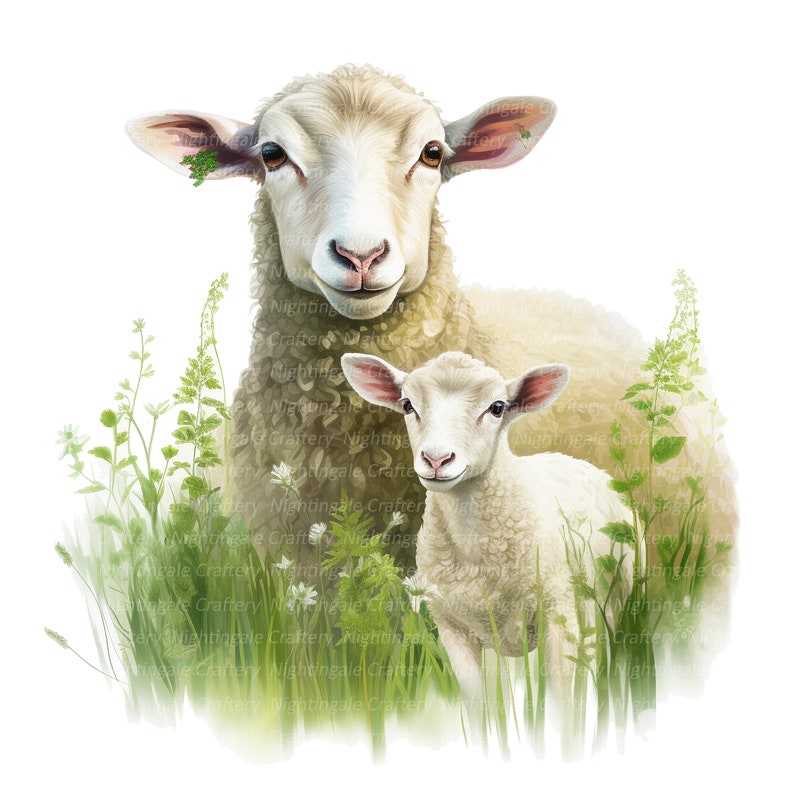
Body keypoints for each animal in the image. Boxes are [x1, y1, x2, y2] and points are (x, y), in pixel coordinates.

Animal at [341, 350, 633, 724]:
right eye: (407, 405)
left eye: (496, 407)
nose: (437, 459)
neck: (474, 554)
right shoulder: (453, 627)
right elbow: (480, 707)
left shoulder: (560, 615)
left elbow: (563, 703)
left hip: (612, 605)